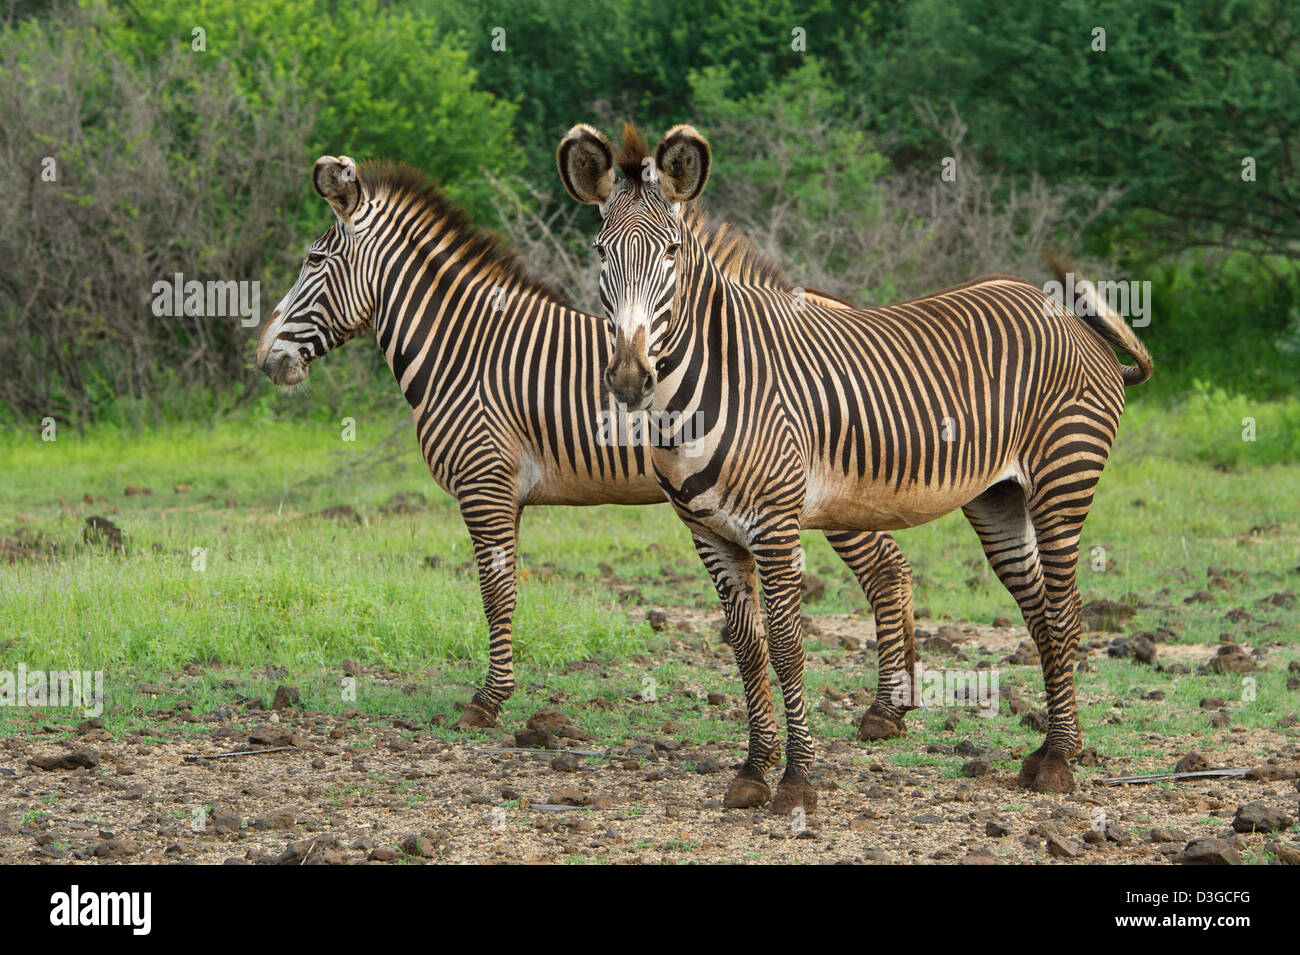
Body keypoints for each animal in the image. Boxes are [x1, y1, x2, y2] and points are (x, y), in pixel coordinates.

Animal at [257, 153, 919, 742]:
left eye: (313, 260)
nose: (265, 360)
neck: (466, 351)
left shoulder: (484, 485)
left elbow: (495, 593)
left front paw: (487, 703)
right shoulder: (503, 494)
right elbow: (506, 589)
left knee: (885, 570)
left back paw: (884, 712)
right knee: (893, 568)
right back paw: (899, 703)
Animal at [557, 123, 1153, 812]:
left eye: (673, 253)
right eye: (601, 253)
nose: (629, 378)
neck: (707, 386)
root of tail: (1059, 311)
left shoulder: (775, 525)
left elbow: (789, 647)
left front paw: (797, 781)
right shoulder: (708, 533)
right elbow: (747, 649)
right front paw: (753, 772)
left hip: (1063, 480)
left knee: (1065, 608)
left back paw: (1058, 762)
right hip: (997, 496)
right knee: (1037, 608)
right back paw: (1057, 748)